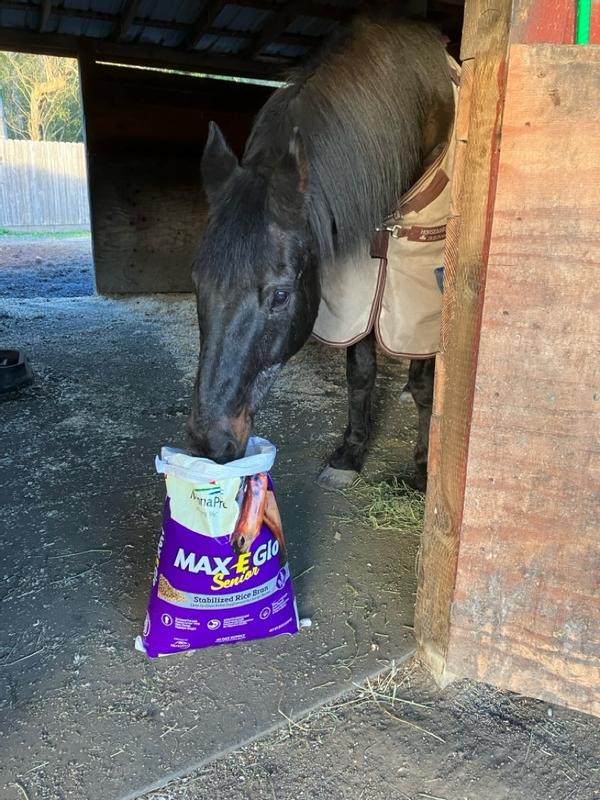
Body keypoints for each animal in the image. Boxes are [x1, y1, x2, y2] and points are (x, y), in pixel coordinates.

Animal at [188, 17, 455, 491]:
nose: (211, 442)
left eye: (280, 296)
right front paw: (349, 455)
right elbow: (360, 371)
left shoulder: (421, 280)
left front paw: (423, 467)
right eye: (196, 283)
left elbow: (426, 379)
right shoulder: (363, 280)